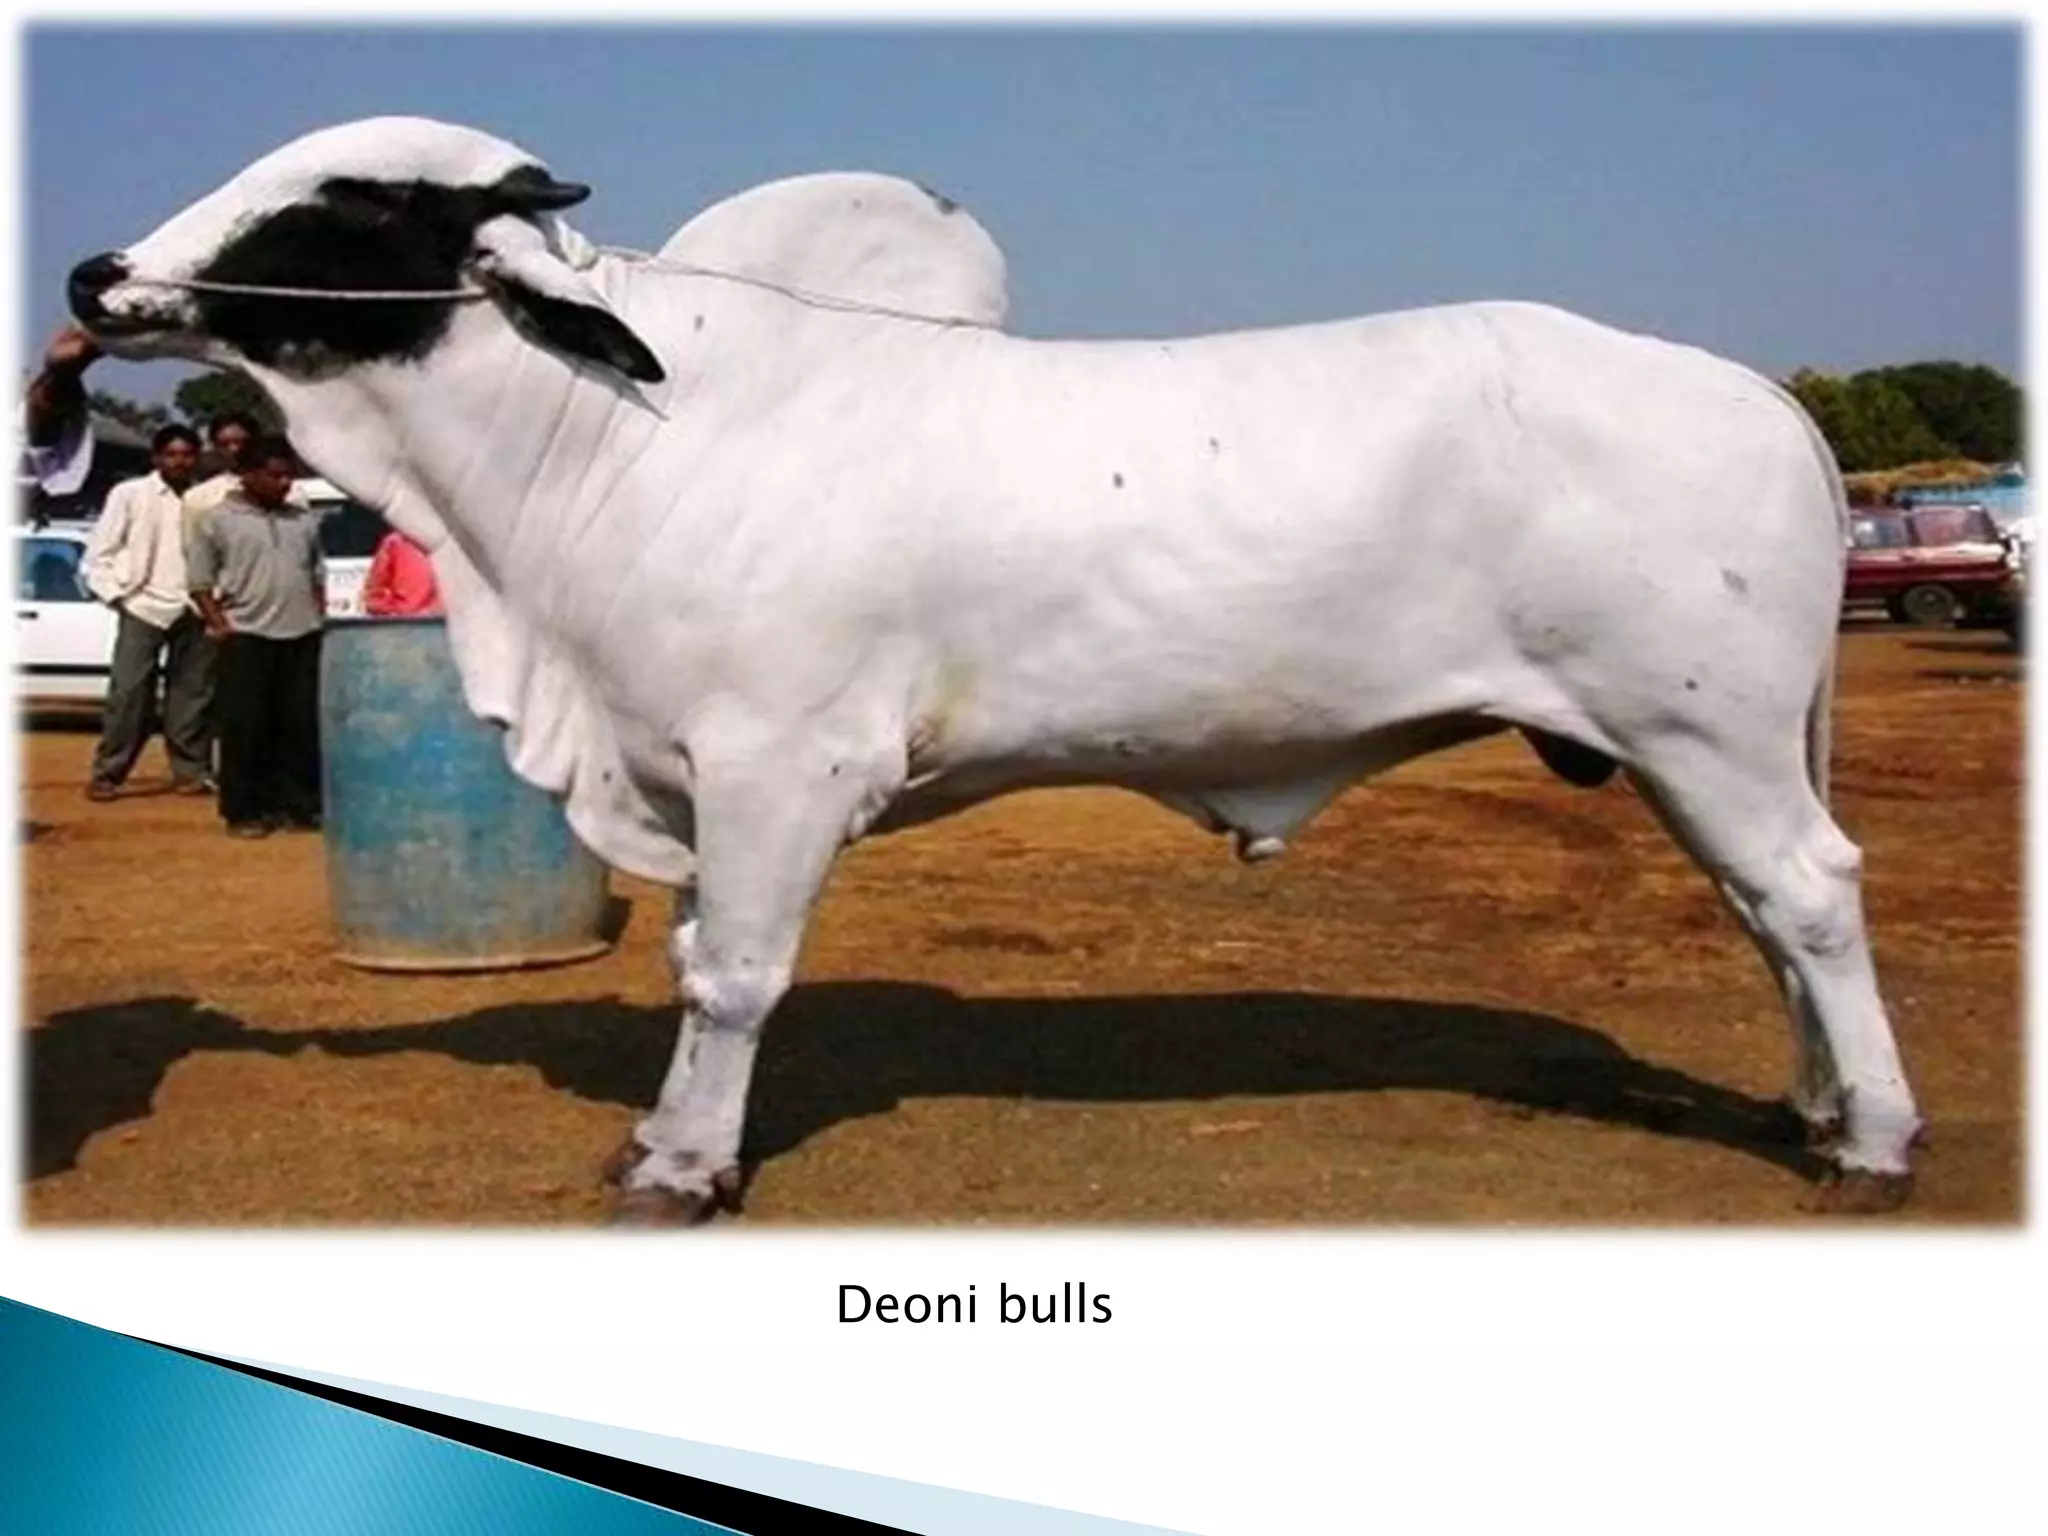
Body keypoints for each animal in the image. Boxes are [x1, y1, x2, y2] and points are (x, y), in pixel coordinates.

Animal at [66, 116, 1921, 1221]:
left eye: (347, 204)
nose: (98, 274)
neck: (617, 434)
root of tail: (1754, 393)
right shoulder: (695, 773)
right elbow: (691, 957)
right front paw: (664, 1138)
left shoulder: (780, 765)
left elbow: (732, 979)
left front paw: (684, 1166)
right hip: (1694, 752)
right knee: (1772, 921)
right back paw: (1822, 1115)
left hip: (1705, 735)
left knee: (1814, 902)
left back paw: (1880, 1143)